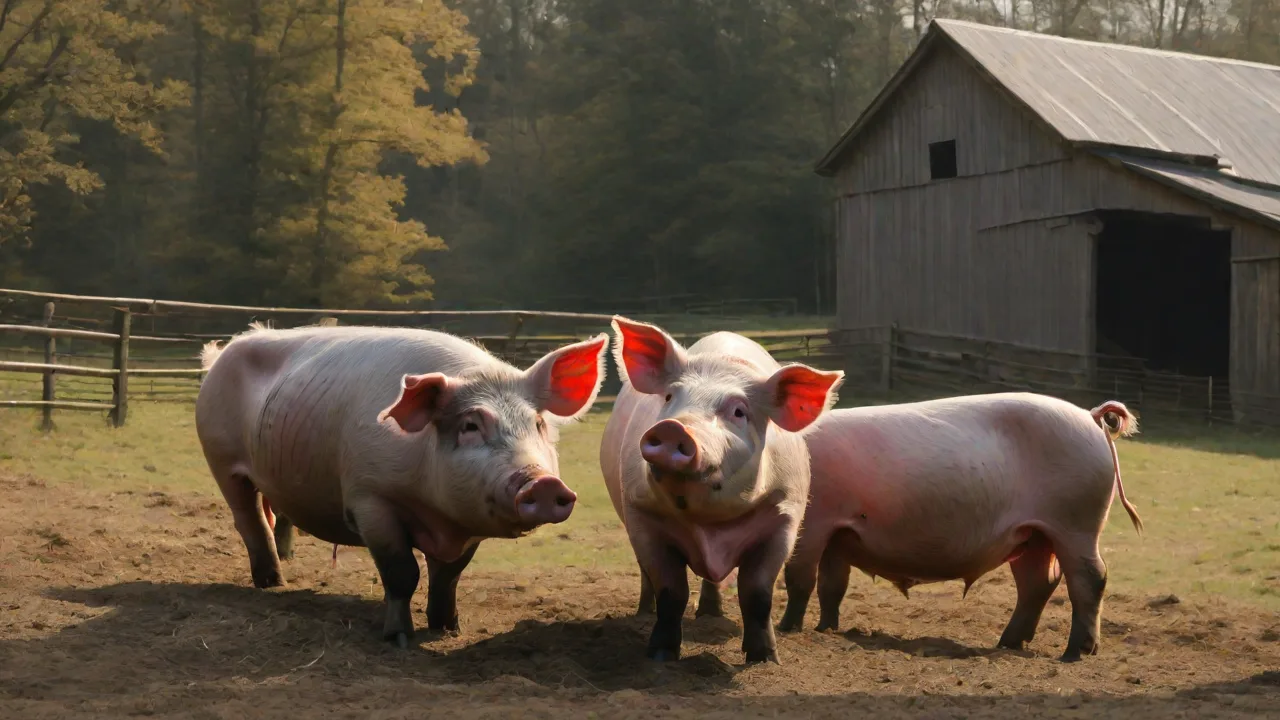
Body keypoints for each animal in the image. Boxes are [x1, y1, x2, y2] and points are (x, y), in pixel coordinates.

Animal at [195, 323, 609, 646]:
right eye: (470, 425)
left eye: (538, 424)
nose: (543, 482)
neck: (441, 517)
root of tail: (224, 351)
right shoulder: (370, 500)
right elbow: (402, 572)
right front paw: (398, 638)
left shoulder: (468, 522)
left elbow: (449, 575)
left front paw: (448, 629)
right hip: (221, 460)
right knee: (249, 520)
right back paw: (273, 584)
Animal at [599, 317, 844, 663]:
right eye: (669, 397)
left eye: (739, 411)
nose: (673, 427)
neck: (708, 522)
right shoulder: (641, 513)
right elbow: (670, 590)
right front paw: (660, 655)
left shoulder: (784, 517)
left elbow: (757, 593)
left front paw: (765, 659)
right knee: (646, 574)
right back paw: (645, 613)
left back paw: (710, 615)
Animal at [775, 392, 1145, 662]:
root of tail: (1090, 415)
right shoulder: (837, 534)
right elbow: (832, 586)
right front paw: (825, 629)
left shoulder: (814, 522)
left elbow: (799, 578)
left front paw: (786, 629)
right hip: (1035, 534)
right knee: (1038, 583)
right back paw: (1008, 644)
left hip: (1077, 522)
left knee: (1091, 577)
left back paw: (1074, 654)